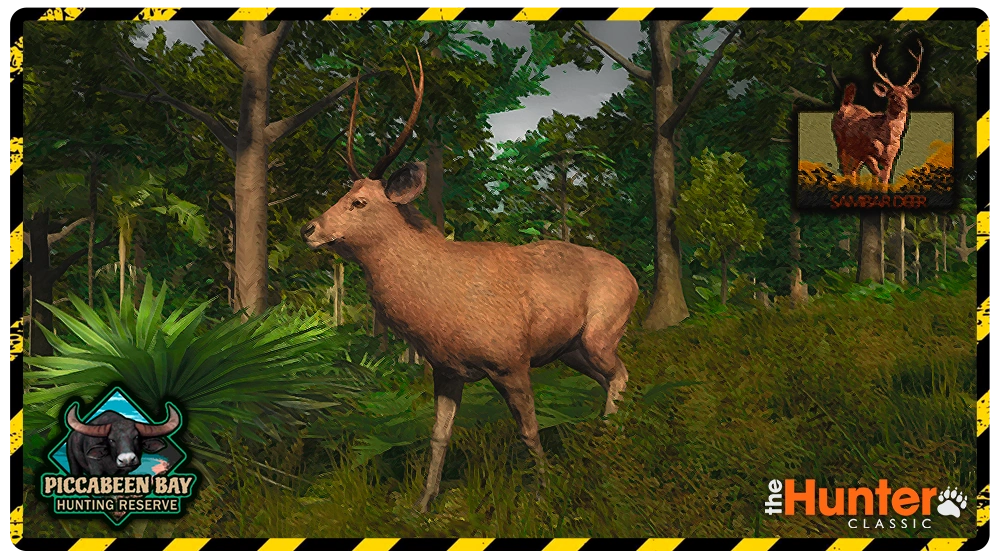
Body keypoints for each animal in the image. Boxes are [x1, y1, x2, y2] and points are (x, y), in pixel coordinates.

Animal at [301, 52, 639, 513]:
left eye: (359, 201)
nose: (309, 229)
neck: (440, 302)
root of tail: (632, 276)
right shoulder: (445, 370)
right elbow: (438, 436)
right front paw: (422, 504)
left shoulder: (510, 360)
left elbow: (529, 429)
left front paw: (542, 495)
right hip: (570, 349)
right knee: (609, 379)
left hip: (602, 330)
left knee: (620, 374)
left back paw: (608, 446)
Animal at [832, 40, 923, 192]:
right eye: (892, 95)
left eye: (906, 95)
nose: (903, 105)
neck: (888, 139)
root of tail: (846, 104)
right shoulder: (867, 151)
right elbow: (878, 175)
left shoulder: (891, 157)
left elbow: (884, 180)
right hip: (841, 143)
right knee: (846, 169)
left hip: (855, 153)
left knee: (852, 171)